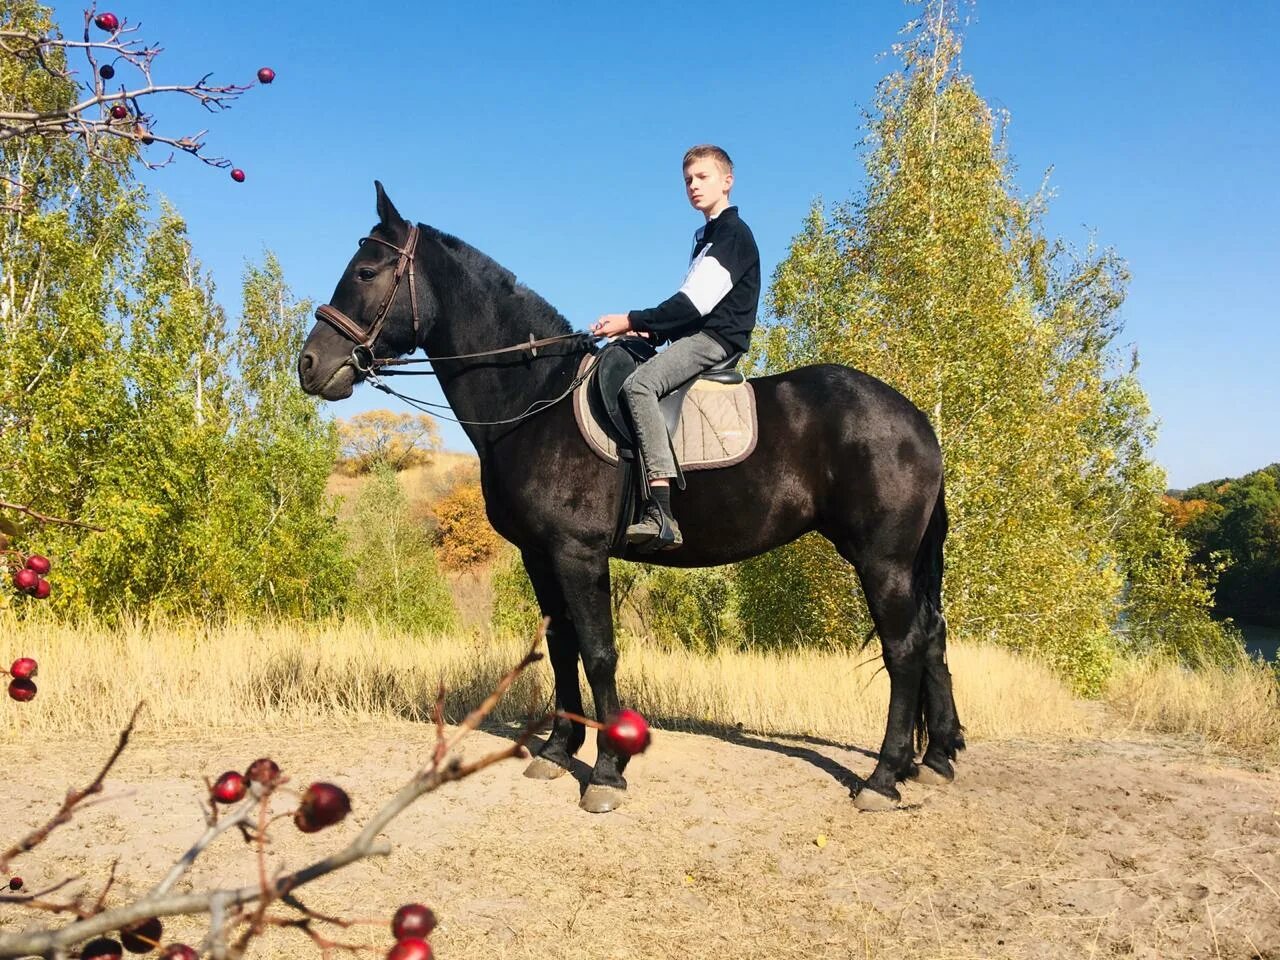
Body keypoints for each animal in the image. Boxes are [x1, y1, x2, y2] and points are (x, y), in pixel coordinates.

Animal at [296, 184, 962, 814]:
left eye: (366, 272)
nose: (309, 365)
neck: (535, 401)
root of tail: (916, 419)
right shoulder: (540, 556)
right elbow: (561, 647)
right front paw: (558, 751)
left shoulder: (579, 553)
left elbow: (598, 652)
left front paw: (608, 772)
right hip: (902, 563)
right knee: (931, 633)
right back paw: (933, 759)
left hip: (881, 559)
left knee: (904, 648)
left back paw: (883, 776)